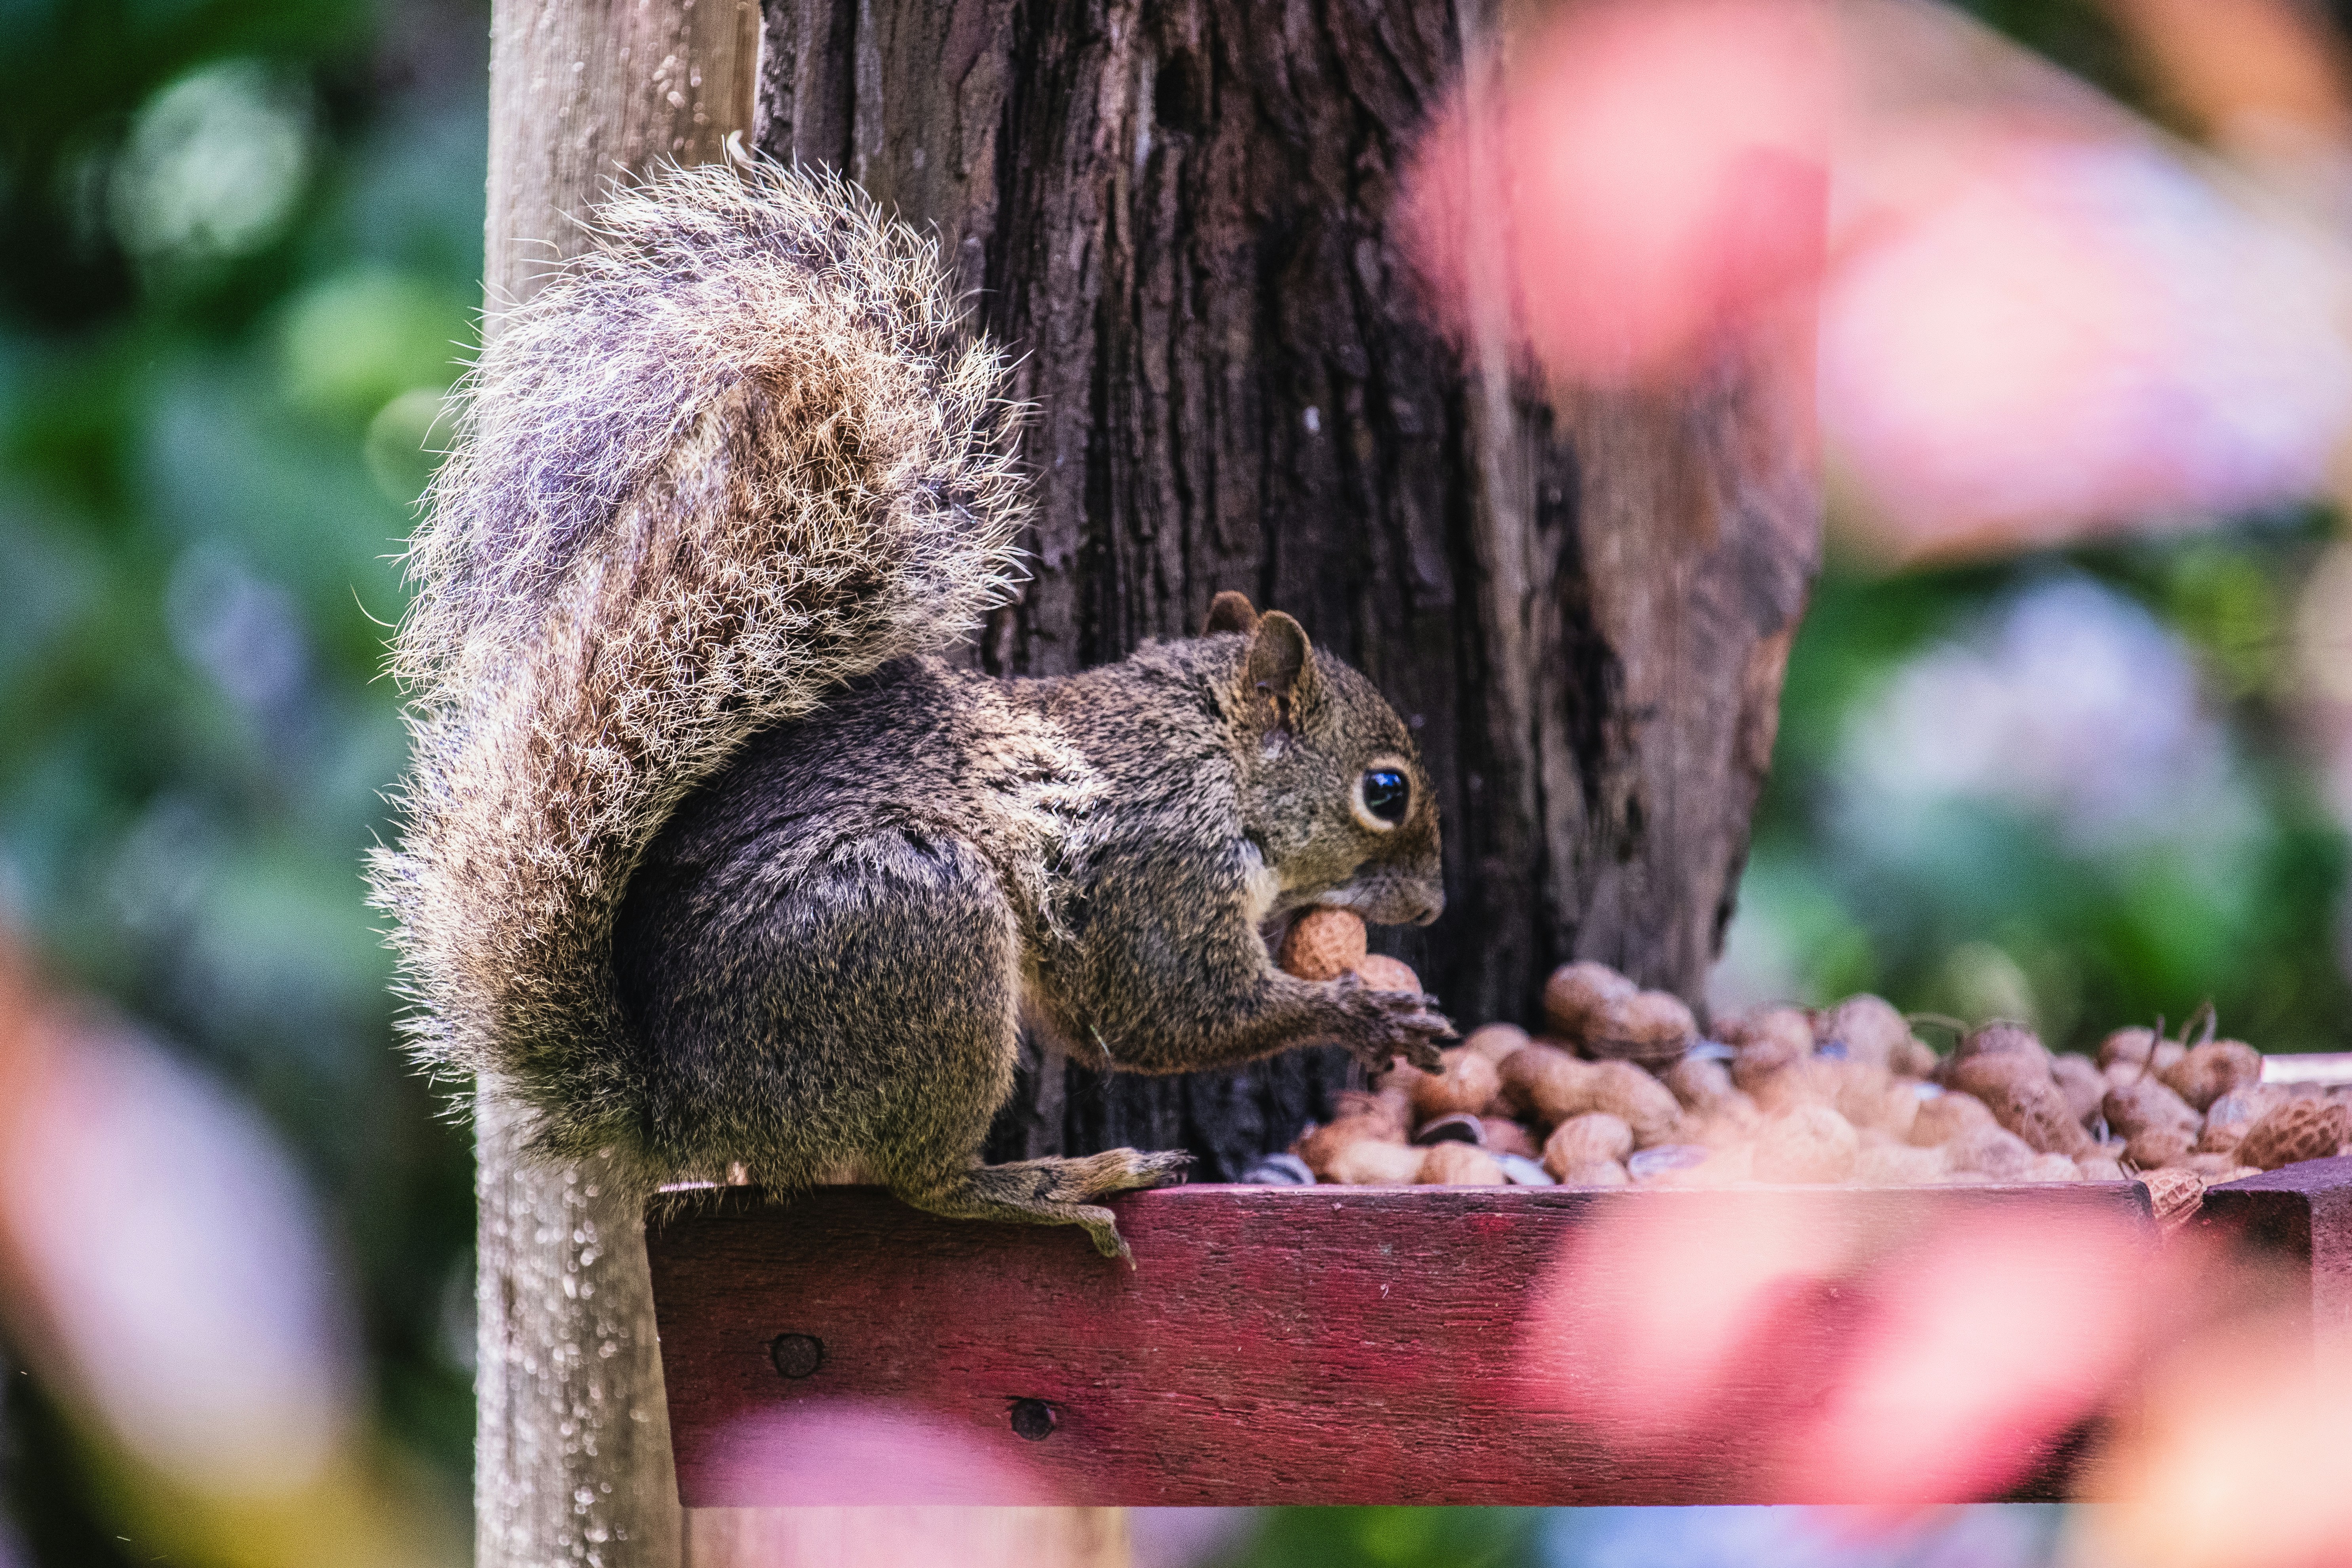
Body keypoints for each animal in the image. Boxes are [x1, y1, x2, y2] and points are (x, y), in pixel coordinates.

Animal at [369, 158, 1453, 1261]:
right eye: (1385, 791)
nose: (1431, 906)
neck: (1208, 748)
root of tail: (678, 1104)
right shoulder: (1160, 864)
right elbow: (1168, 1013)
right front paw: (1361, 1013)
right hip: (920, 923)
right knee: (924, 1182)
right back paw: (1042, 1184)